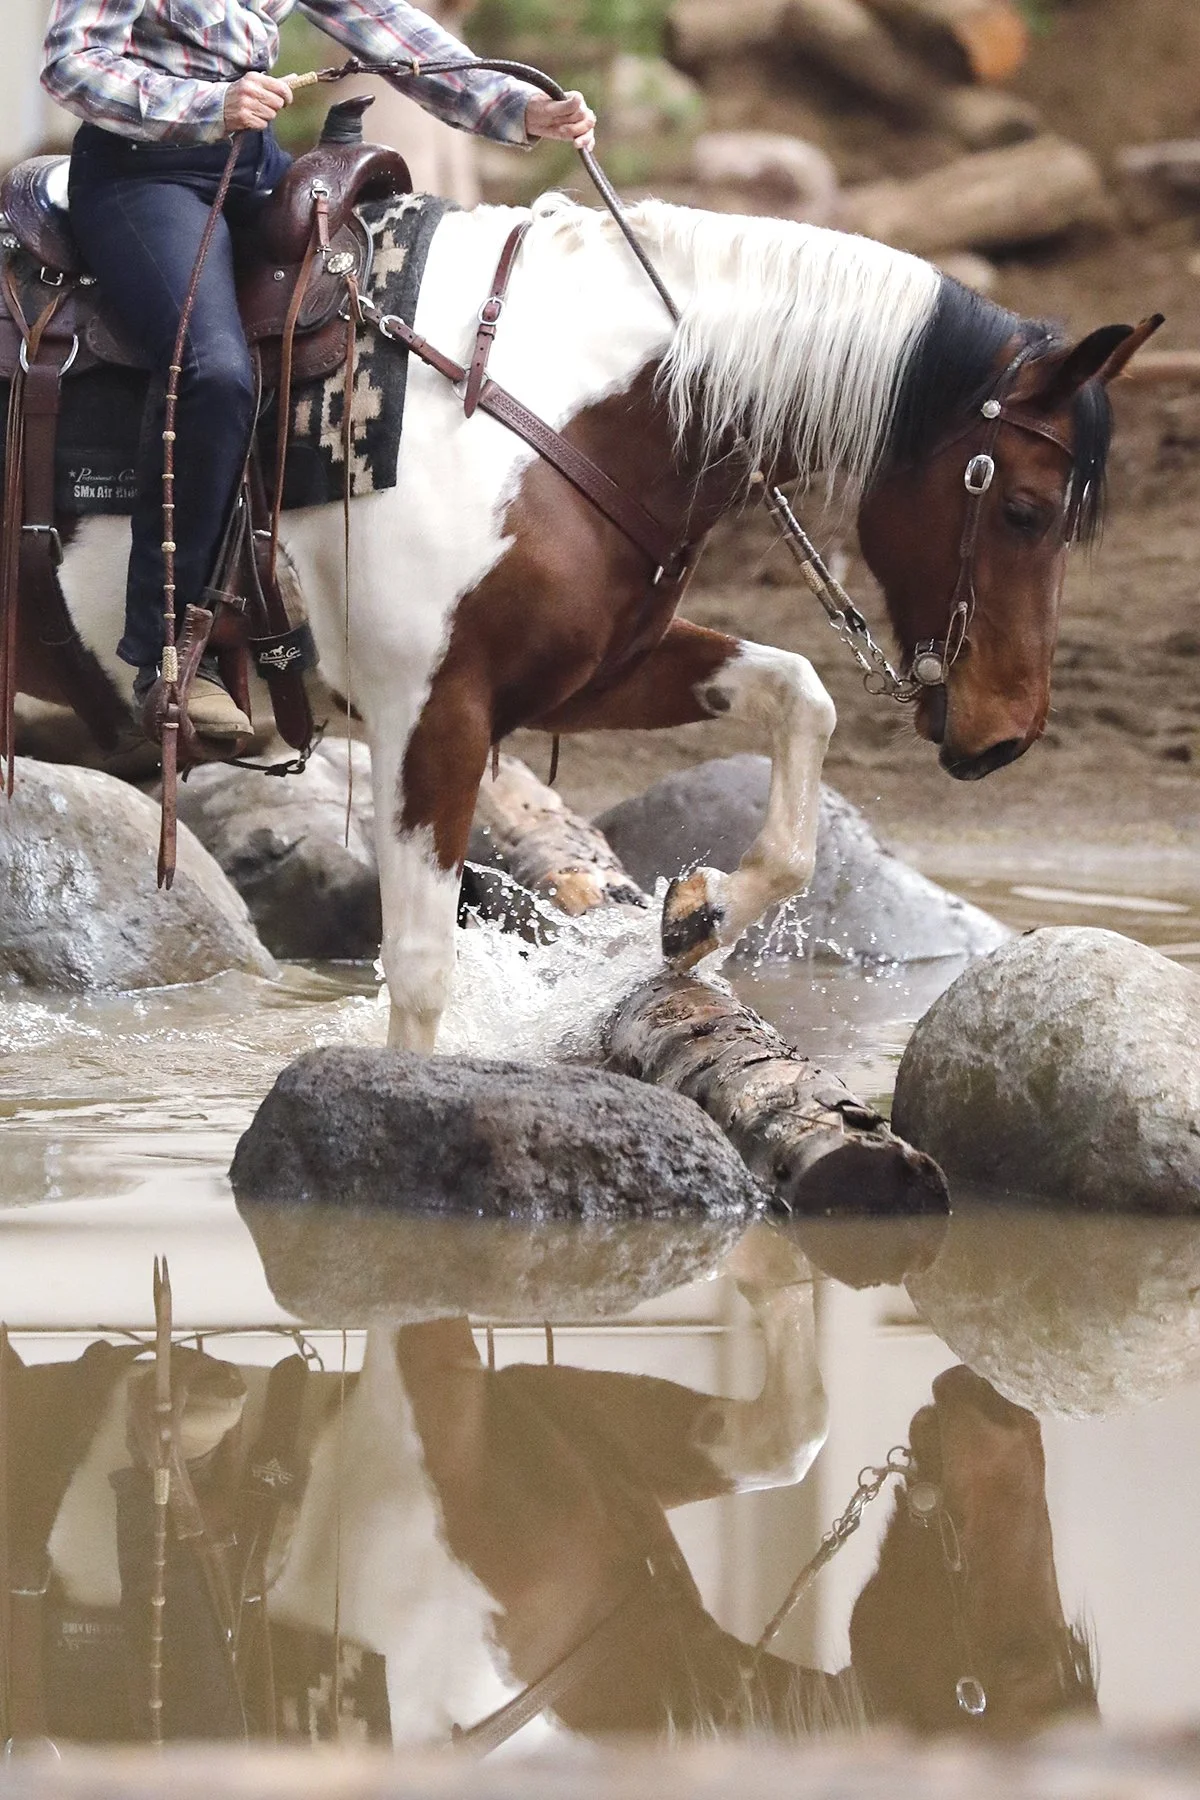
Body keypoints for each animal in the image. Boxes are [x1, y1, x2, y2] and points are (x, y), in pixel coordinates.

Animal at [25, 193, 1160, 1046]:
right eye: (1024, 510)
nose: (1008, 735)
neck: (551, 406)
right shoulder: (430, 716)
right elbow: (423, 974)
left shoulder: (587, 673)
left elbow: (802, 697)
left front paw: (701, 914)